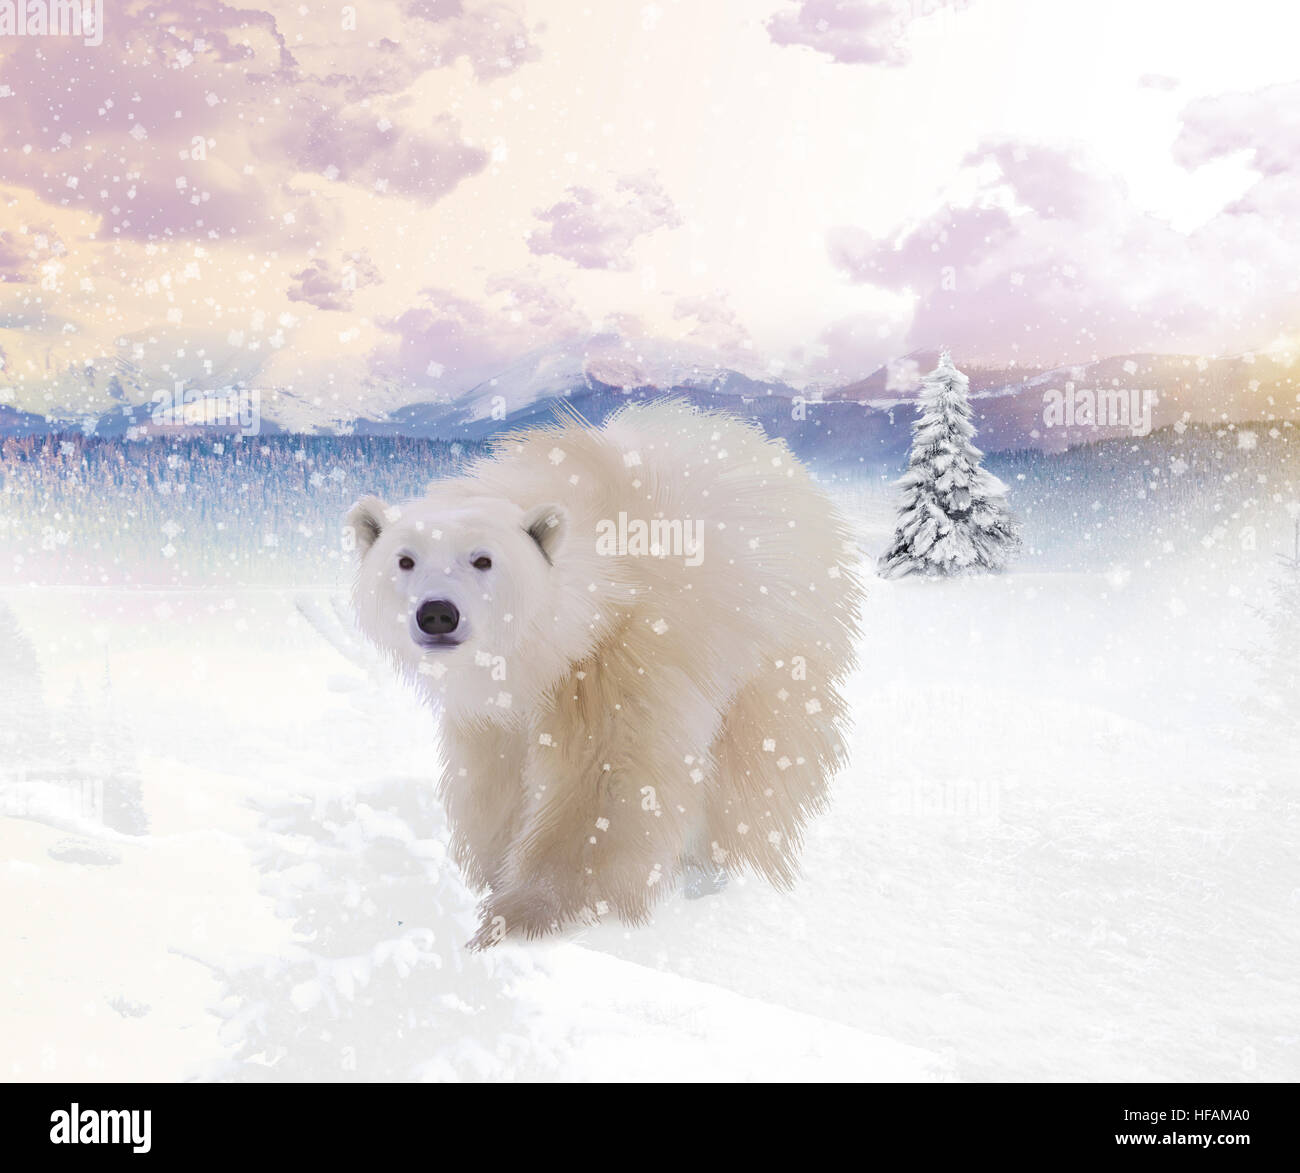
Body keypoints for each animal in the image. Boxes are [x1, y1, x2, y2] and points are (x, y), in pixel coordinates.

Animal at [347, 399, 863, 947]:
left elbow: (608, 778)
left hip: (779, 649)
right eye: (404, 560)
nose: (438, 614)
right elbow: (495, 771)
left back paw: (721, 869)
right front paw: (490, 872)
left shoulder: (625, 656)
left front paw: (523, 914)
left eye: (482, 559)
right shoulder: (496, 709)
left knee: (757, 763)